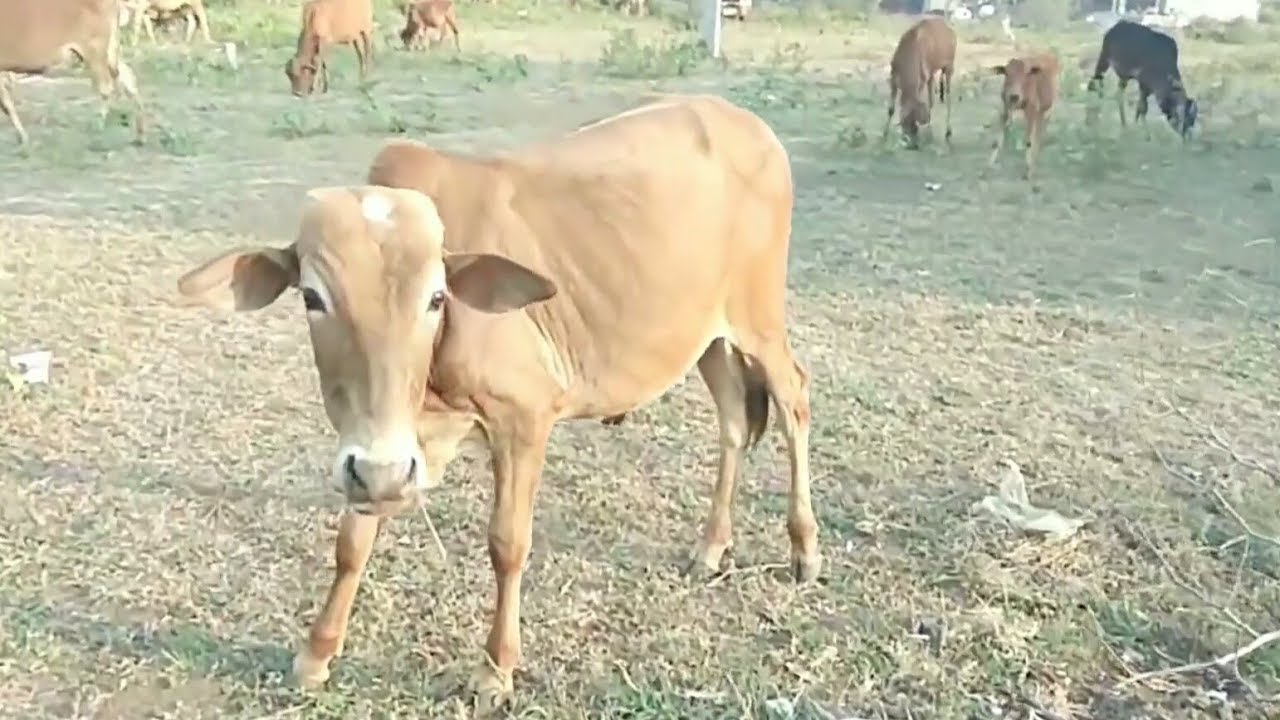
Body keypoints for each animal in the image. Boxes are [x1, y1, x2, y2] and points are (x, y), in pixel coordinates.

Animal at [0, 0, 145, 145]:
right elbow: (6, 103)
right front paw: (22, 136)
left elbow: (6, 104)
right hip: (109, 52)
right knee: (128, 78)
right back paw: (140, 134)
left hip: (95, 52)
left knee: (106, 87)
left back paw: (98, 126)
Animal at [175, 94, 822, 713]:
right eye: (312, 296)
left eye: (436, 297)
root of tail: (748, 124)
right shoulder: (383, 453)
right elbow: (352, 542)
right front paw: (316, 654)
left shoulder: (523, 420)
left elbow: (508, 544)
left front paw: (495, 670)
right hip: (706, 336)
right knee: (734, 419)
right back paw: (711, 547)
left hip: (760, 319)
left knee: (794, 400)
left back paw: (804, 549)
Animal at [882, 16, 957, 148]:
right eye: (907, 125)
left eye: (914, 125)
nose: (914, 145)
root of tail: (950, 30)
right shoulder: (894, 79)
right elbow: (891, 109)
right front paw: (884, 135)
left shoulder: (920, 80)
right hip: (932, 73)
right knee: (932, 99)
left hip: (948, 67)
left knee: (947, 96)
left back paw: (947, 132)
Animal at [989, 52, 1060, 181]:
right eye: (1006, 73)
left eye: (1026, 74)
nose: (1014, 96)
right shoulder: (1006, 108)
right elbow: (997, 140)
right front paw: (990, 165)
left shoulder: (1031, 111)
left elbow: (1028, 141)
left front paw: (1028, 172)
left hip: (1047, 110)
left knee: (1039, 134)